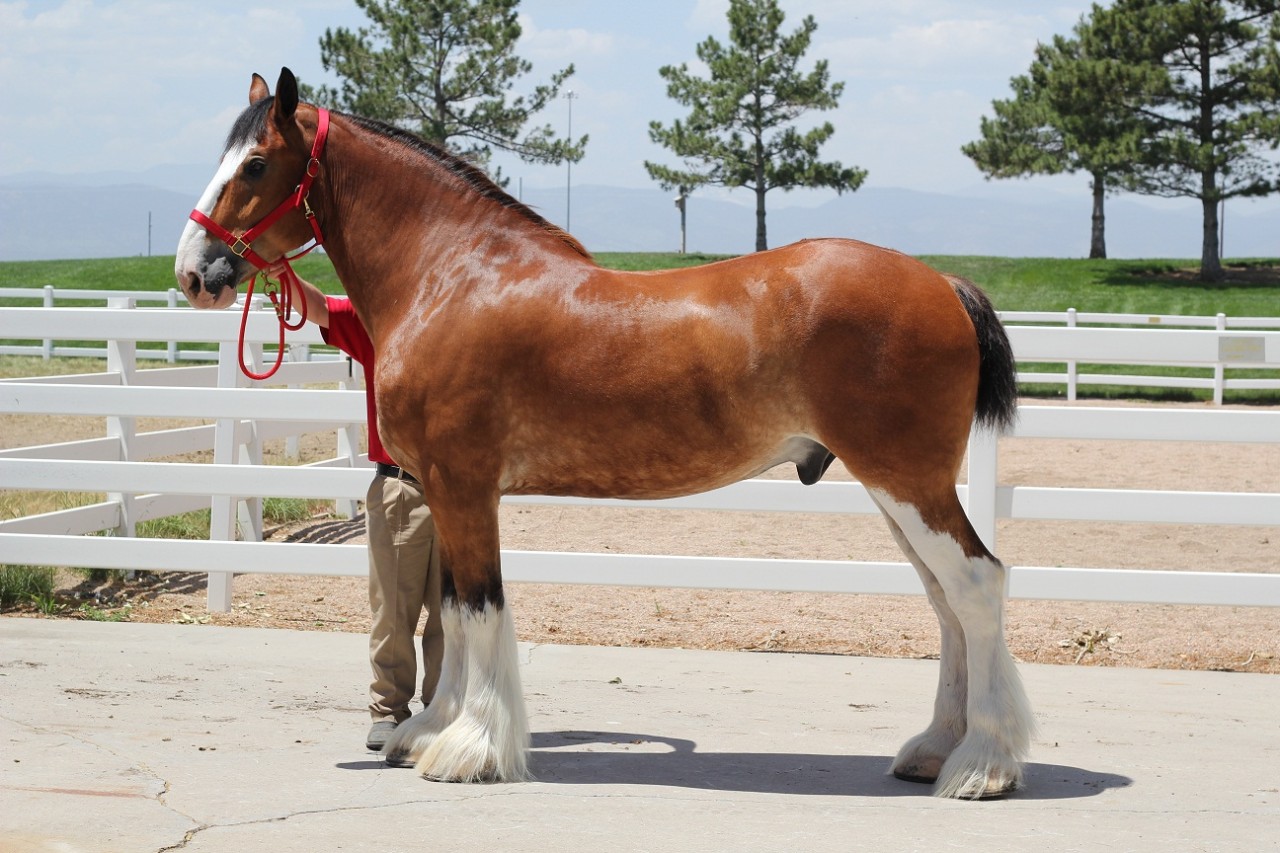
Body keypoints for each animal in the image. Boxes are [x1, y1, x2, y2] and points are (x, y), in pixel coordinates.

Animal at [175, 68, 1034, 799]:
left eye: (254, 164)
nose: (192, 272)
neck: (452, 274)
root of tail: (942, 283)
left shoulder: (465, 486)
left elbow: (478, 608)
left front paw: (471, 748)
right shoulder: (448, 490)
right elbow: (450, 610)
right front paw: (432, 730)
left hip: (907, 479)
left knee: (976, 584)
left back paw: (983, 763)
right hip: (897, 489)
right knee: (945, 598)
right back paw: (934, 749)